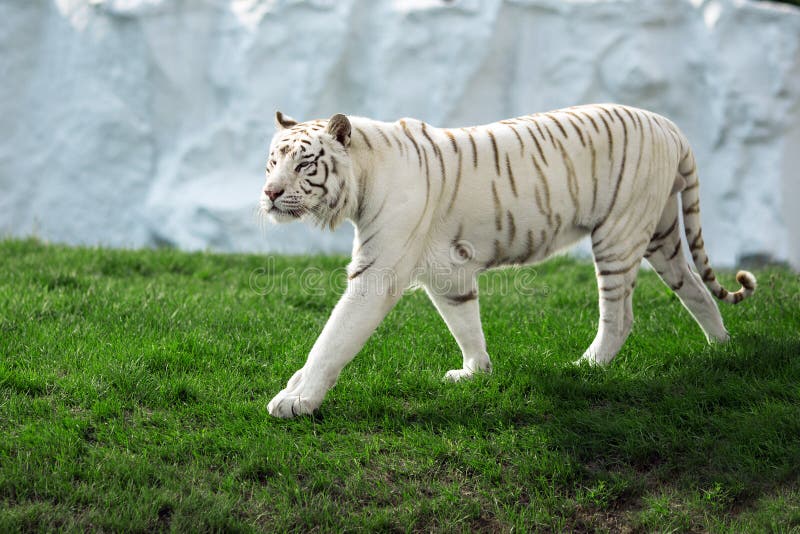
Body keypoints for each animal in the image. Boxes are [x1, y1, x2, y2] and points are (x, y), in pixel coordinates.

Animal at [260, 105, 757, 419]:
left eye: (304, 165)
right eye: (271, 162)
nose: (269, 193)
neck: (363, 180)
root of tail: (670, 125)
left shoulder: (378, 272)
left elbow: (333, 338)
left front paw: (297, 401)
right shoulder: (448, 270)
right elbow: (464, 321)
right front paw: (474, 372)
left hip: (618, 233)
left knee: (621, 317)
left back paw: (587, 366)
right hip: (661, 234)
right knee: (695, 288)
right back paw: (722, 349)